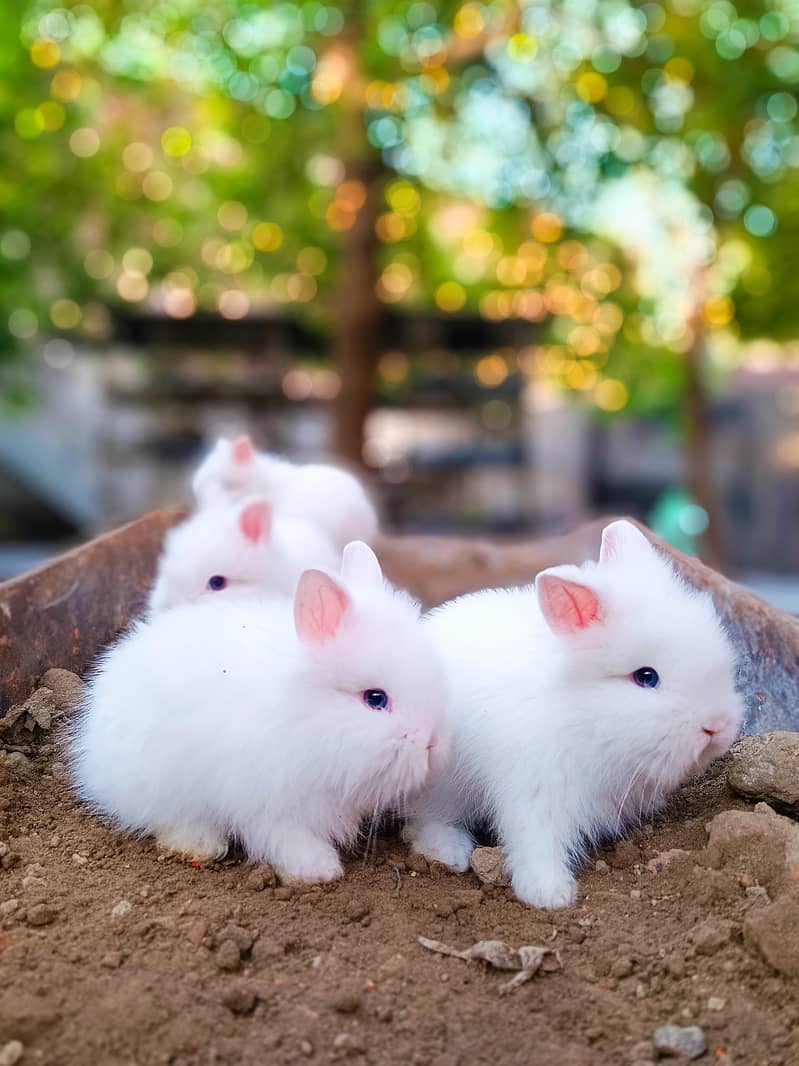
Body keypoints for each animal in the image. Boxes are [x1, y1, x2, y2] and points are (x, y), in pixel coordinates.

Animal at [69, 542, 448, 882]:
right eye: (375, 698)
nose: (433, 744)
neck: (307, 718)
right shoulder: (268, 802)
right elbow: (285, 838)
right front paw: (318, 870)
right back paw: (201, 845)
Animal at [403, 520, 744, 910]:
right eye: (646, 676)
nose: (716, 727)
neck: (583, 715)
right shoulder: (535, 790)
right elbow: (534, 842)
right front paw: (550, 895)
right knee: (422, 821)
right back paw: (451, 853)